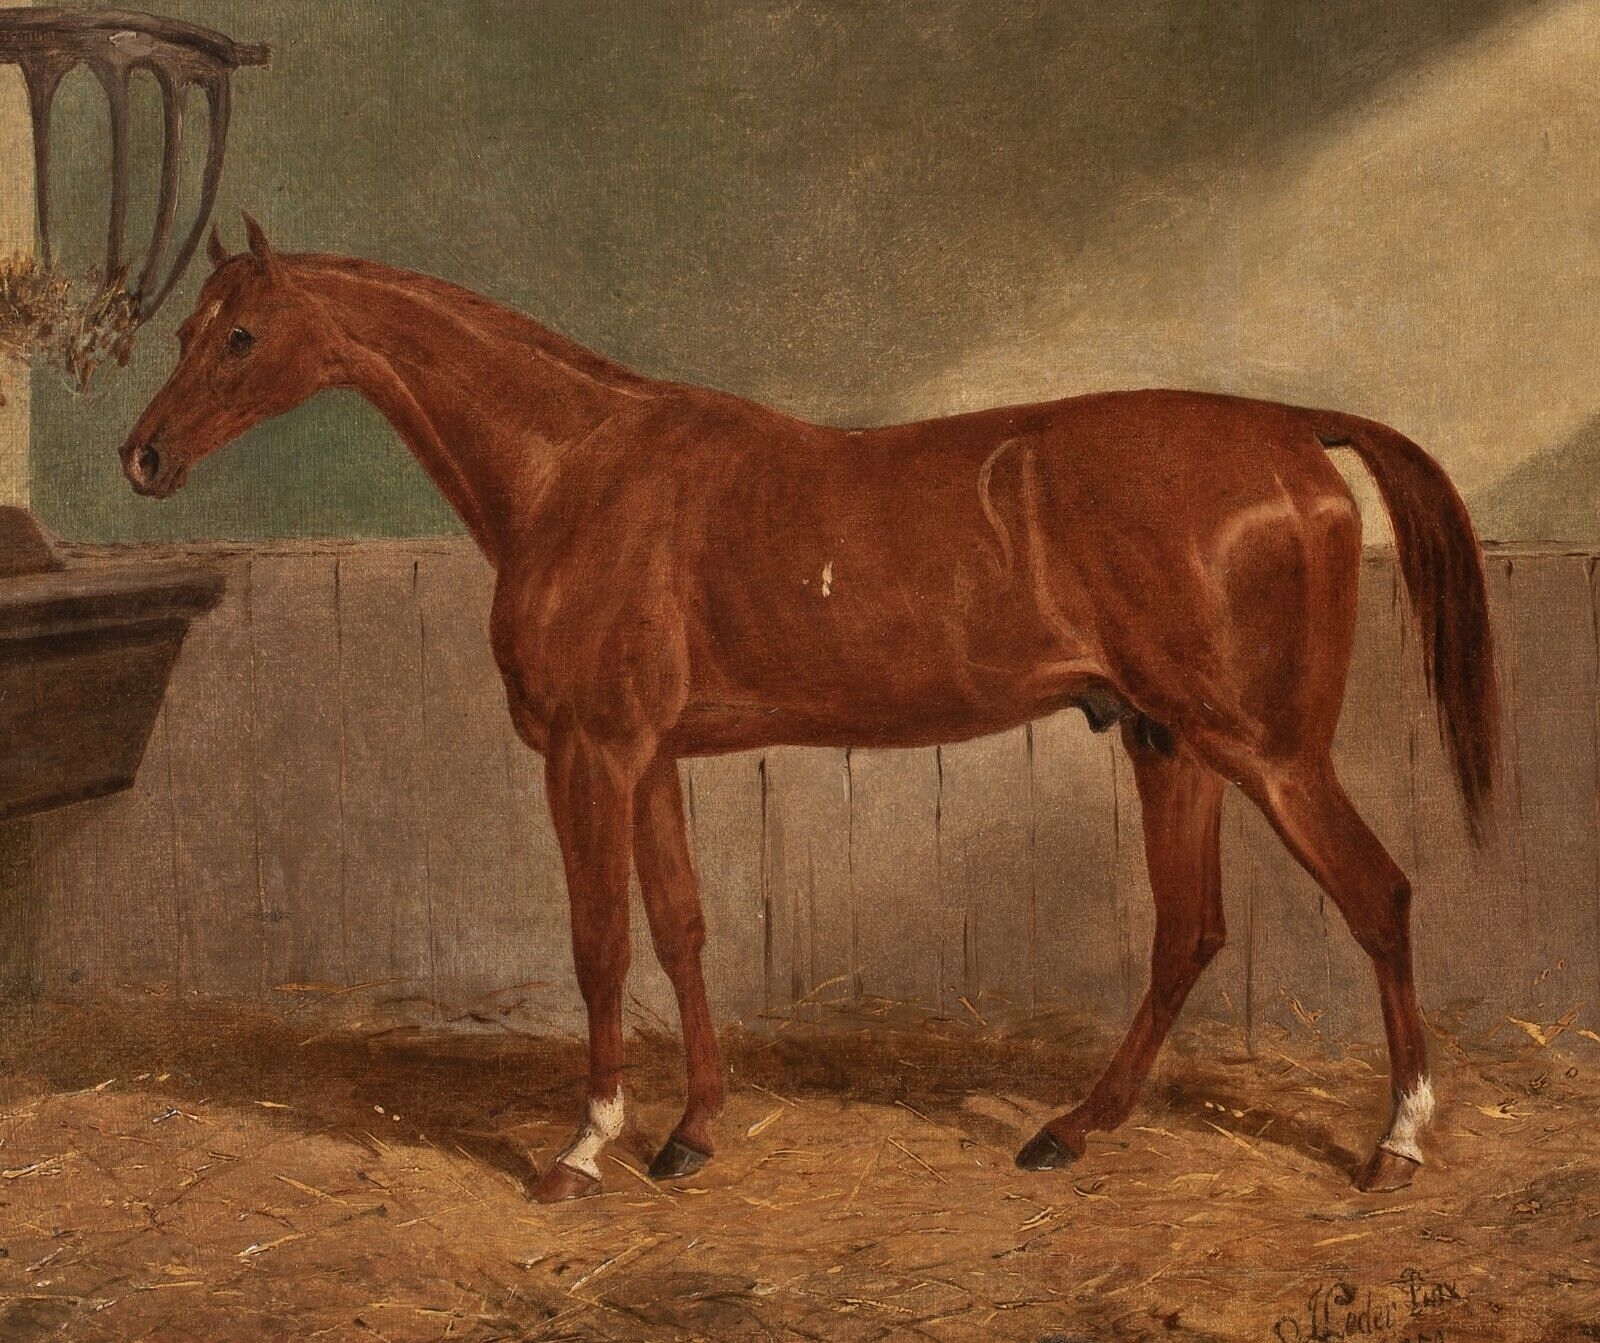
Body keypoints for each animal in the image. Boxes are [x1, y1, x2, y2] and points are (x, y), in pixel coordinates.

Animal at [120, 215, 1499, 1203]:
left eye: (239, 335)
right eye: (188, 324)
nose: (141, 456)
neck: (578, 468)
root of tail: (1288, 431)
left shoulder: (590, 753)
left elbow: (600, 941)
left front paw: (583, 1146)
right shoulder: (652, 755)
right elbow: (681, 927)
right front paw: (690, 1131)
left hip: (1267, 751)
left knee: (1377, 896)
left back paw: (1397, 1144)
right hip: (1172, 744)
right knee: (1187, 932)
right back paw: (1069, 1128)